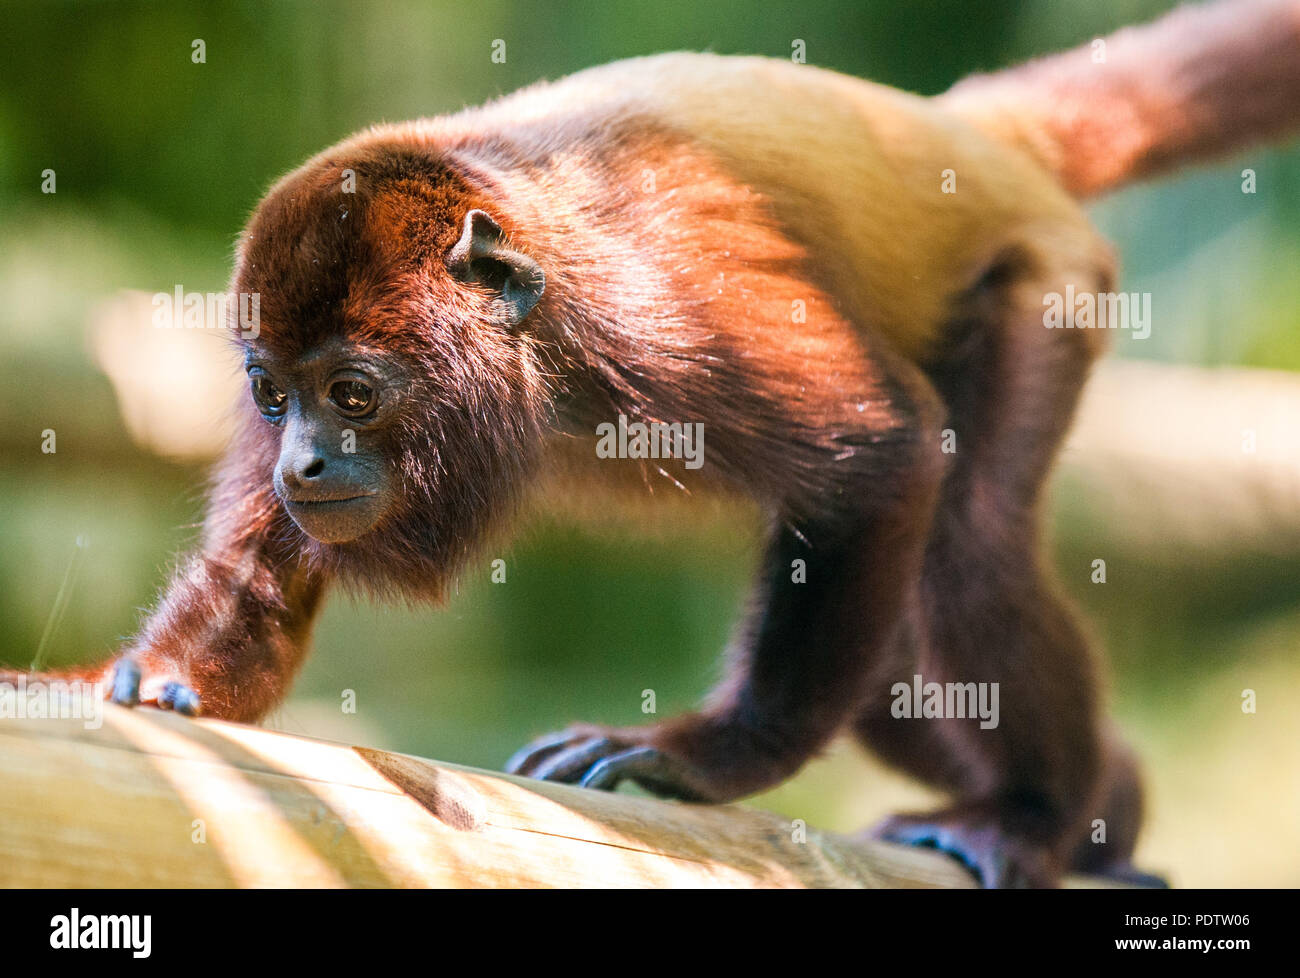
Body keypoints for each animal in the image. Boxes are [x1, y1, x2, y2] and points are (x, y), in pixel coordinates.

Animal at [11, 0, 1300, 887]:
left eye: (355, 394)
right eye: (274, 396)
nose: (302, 465)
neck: (529, 312)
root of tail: (954, 127)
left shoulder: (660, 312)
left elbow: (885, 453)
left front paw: (710, 758)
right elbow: (255, 563)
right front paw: (153, 684)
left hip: (1044, 281)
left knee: (966, 550)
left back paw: (1028, 815)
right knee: (891, 679)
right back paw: (1106, 814)